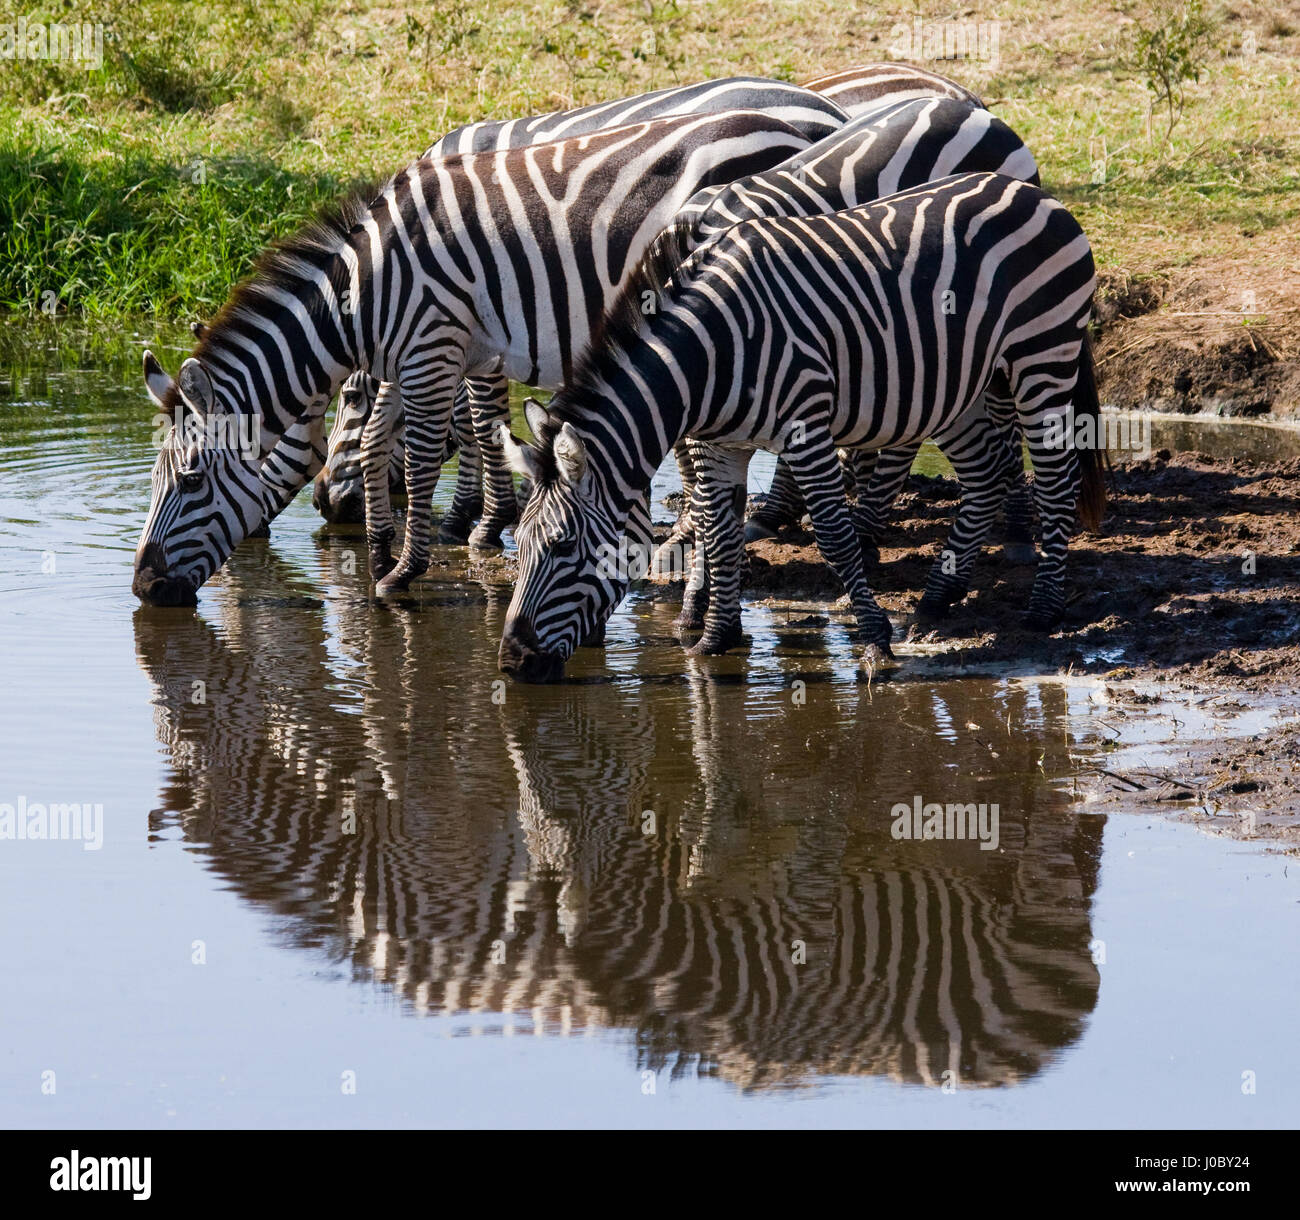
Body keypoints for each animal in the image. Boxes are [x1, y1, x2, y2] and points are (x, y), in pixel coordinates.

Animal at [131, 108, 828, 606]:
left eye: (190, 481)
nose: (143, 588)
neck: (360, 299)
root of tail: (806, 126)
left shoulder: (432, 347)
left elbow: (420, 458)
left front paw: (404, 572)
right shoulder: (427, 354)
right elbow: (395, 439)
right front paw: (384, 549)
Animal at [497, 172, 1105, 681]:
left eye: (562, 546)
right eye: (519, 545)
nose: (512, 663)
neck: (709, 355)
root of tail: (1035, 193)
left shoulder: (805, 431)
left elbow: (834, 537)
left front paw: (875, 641)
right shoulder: (719, 445)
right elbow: (719, 536)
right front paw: (714, 641)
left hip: (1042, 354)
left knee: (1055, 479)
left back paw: (1044, 608)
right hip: (965, 384)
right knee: (987, 474)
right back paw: (937, 598)